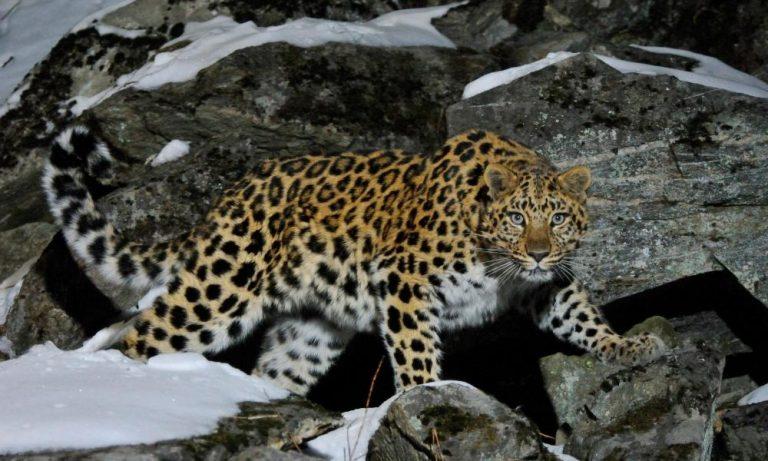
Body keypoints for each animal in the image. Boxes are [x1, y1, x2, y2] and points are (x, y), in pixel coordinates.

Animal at [43, 126, 666, 395]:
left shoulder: (545, 285)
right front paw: (426, 396)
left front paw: (629, 345)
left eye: (557, 219)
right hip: (219, 292)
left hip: (310, 332)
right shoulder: (405, 279)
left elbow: (581, 317)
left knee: (275, 370)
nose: (536, 251)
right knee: (141, 333)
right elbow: (415, 353)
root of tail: (225, 199)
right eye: (516, 217)